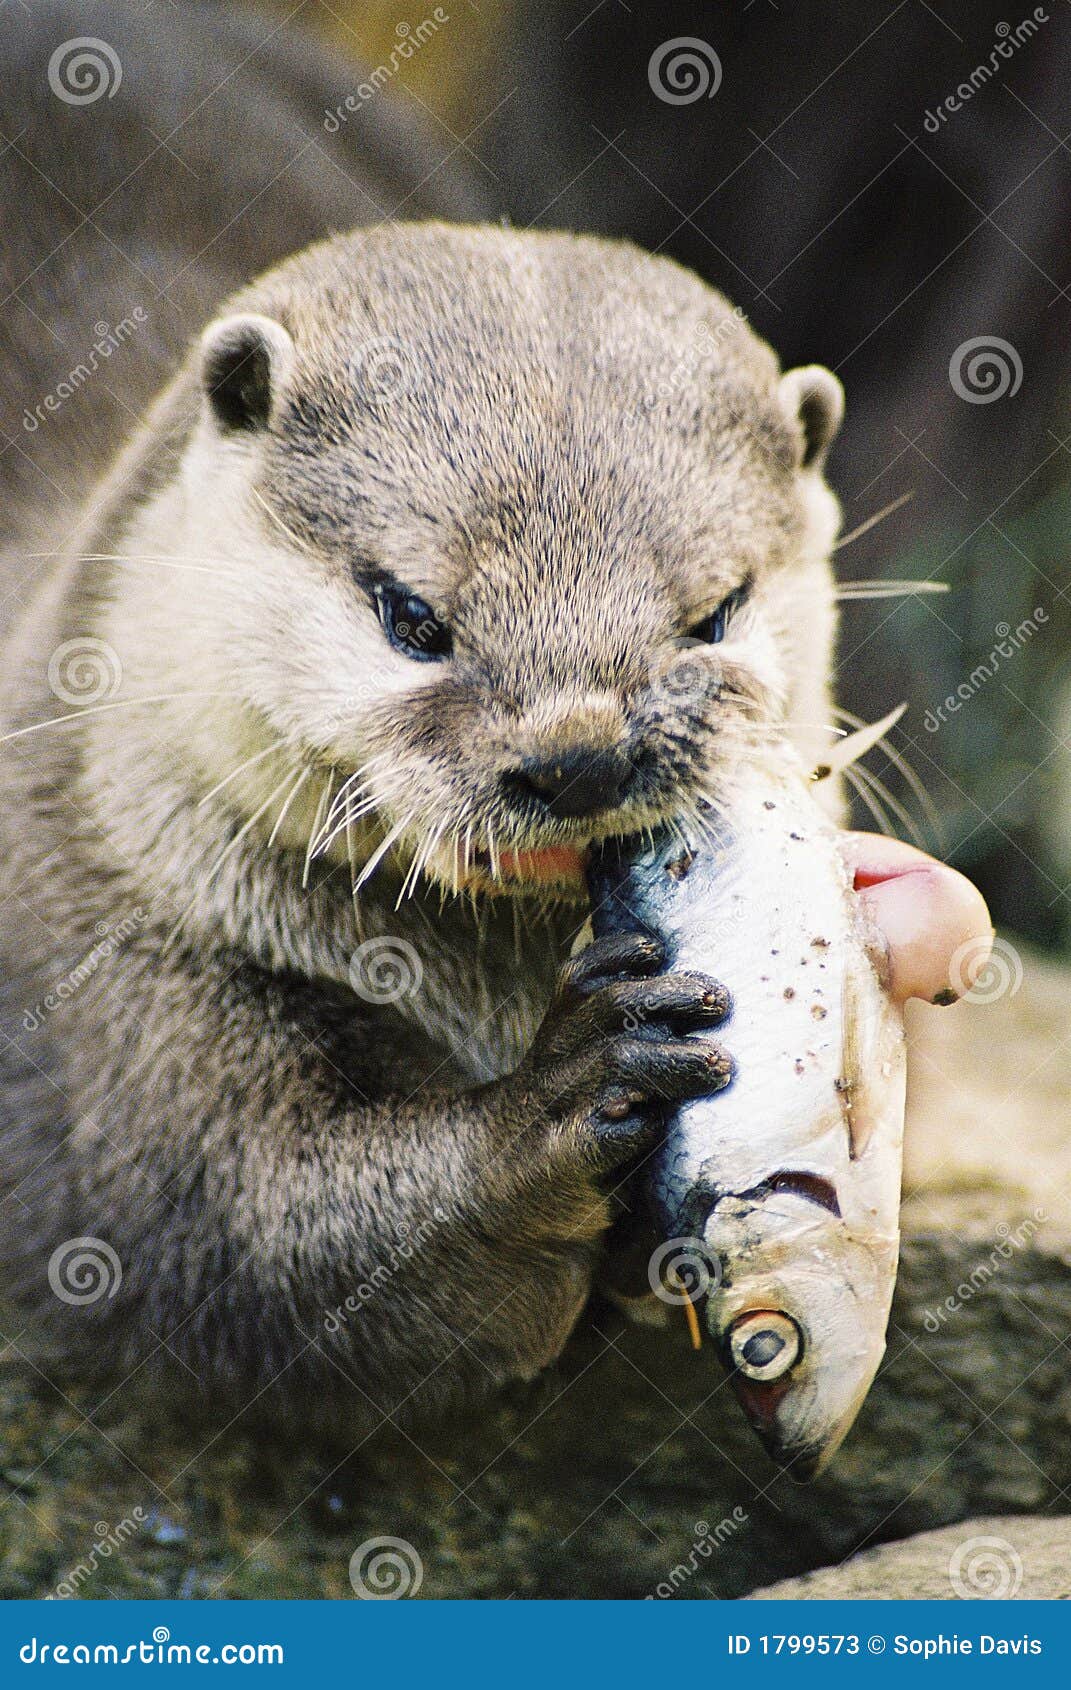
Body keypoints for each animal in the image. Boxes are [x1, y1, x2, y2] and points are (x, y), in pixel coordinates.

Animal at [0, 5, 846, 1428]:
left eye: (716, 612)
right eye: (411, 612)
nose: (578, 755)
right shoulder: (108, 964)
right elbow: (254, 1222)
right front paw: (565, 1100)